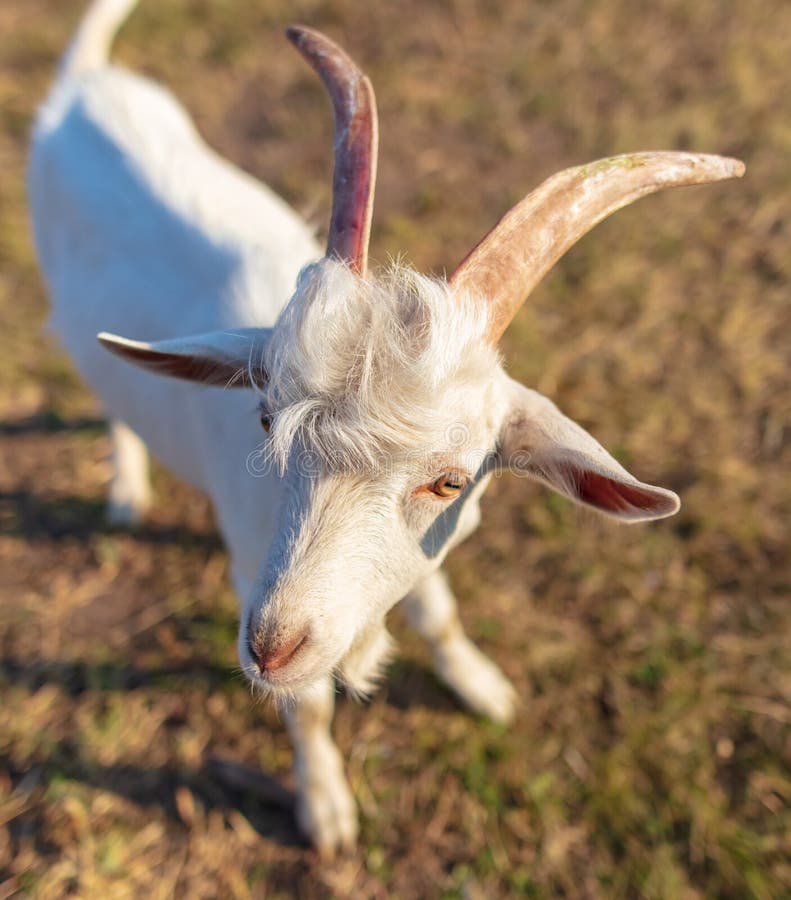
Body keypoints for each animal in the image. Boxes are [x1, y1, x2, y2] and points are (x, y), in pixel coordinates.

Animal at [29, 0, 744, 855]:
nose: (270, 647)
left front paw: (481, 686)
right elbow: (309, 706)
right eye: (265, 419)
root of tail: (83, 80)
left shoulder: (422, 549)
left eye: (449, 481)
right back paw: (127, 490)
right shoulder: (249, 565)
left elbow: (436, 611)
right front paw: (326, 808)